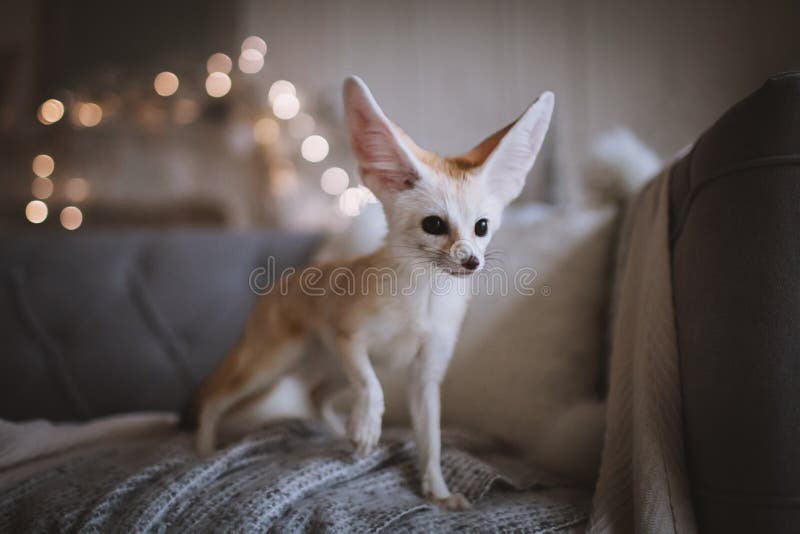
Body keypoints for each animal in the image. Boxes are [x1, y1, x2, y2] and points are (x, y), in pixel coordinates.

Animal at [182, 76, 554, 509]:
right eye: (434, 224)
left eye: (481, 227)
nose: (472, 262)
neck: (423, 303)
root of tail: (280, 283)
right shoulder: (350, 337)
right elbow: (372, 386)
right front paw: (368, 426)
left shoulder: (426, 376)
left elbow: (431, 441)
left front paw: (438, 492)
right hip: (270, 366)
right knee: (214, 398)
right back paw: (204, 449)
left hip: (324, 370)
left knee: (315, 395)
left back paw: (338, 431)